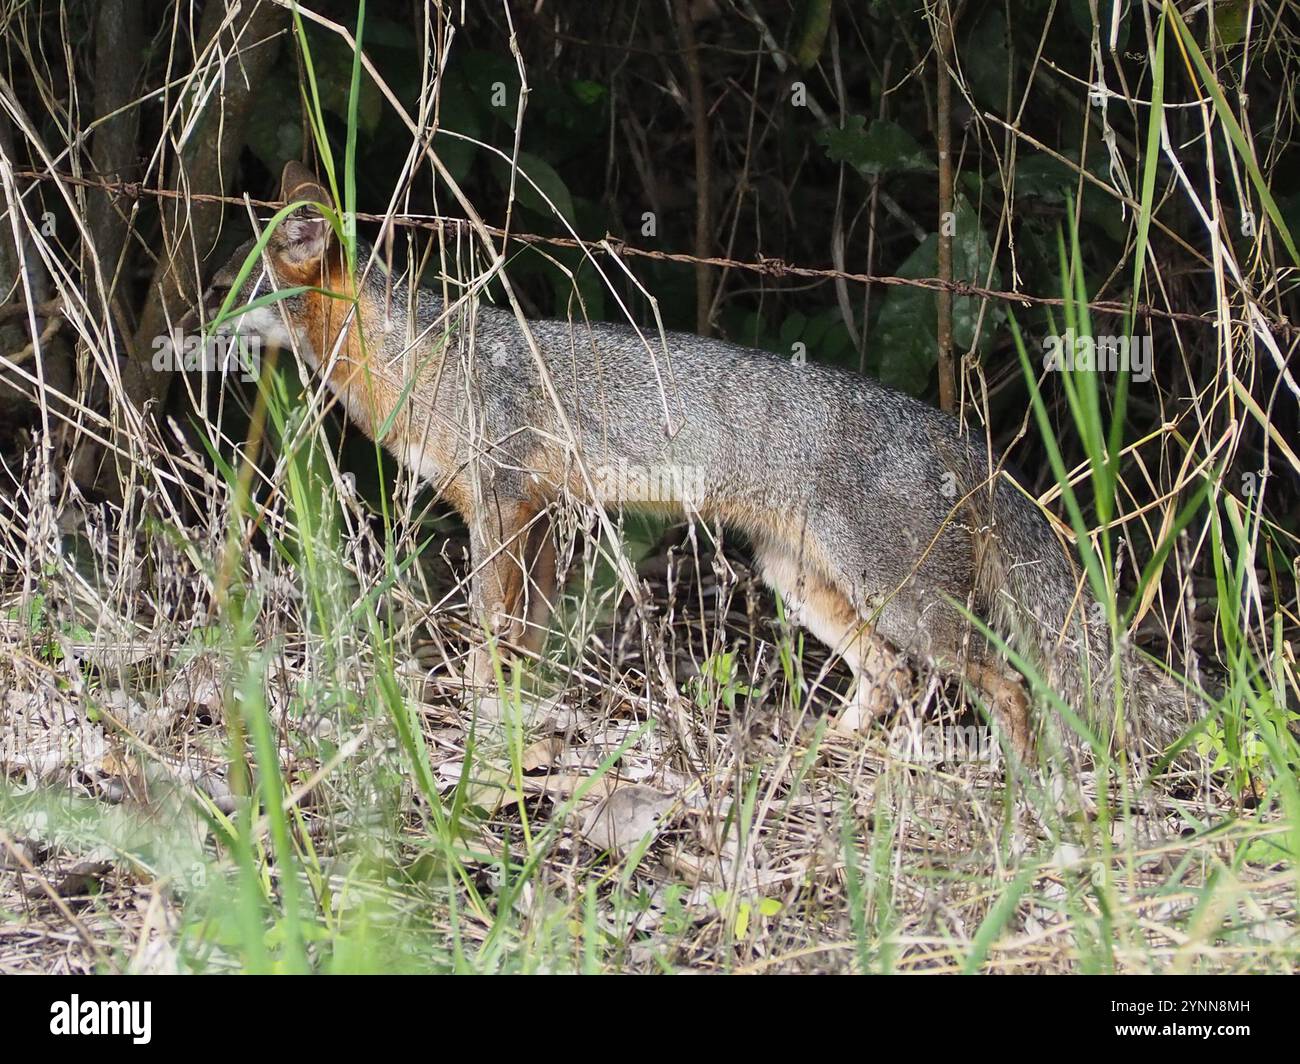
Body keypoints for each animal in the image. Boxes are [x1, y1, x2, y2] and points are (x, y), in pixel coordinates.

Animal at [201, 161, 1195, 764]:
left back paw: (1023, 789)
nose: (181, 328)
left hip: (906, 601)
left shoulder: (506, 505)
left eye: (224, 293)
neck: (421, 360)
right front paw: (517, 705)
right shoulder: (545, 517)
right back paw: (822, 754)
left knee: (1006, 685)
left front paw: (481, 703)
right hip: (805, 585)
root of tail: (951, 429)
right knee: (893, 678)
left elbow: (493, 627)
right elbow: (527, 633)